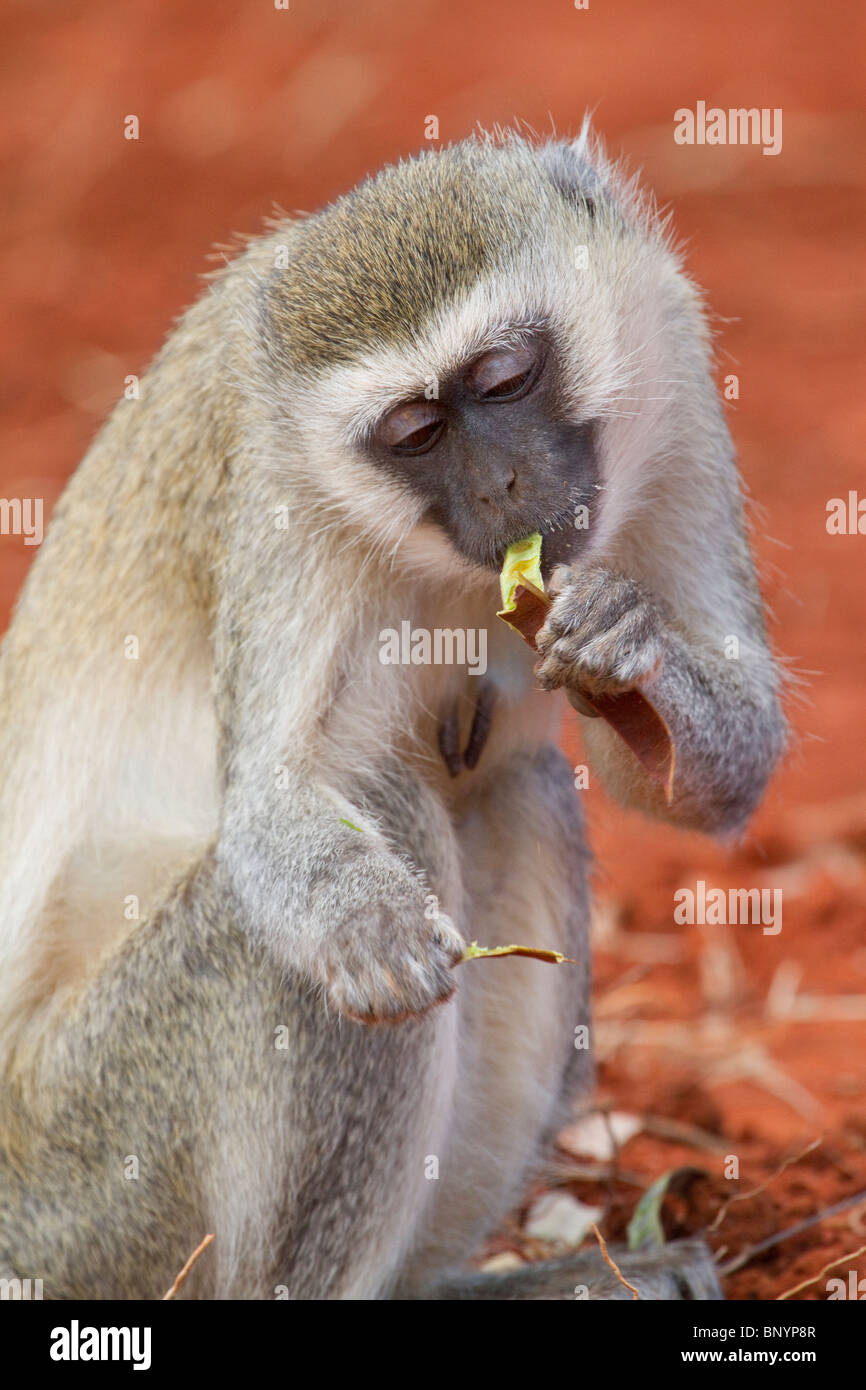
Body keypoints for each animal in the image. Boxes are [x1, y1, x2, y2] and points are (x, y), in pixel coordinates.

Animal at [0, 126, 784, 1300]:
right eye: (414, 431)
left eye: (503, 377)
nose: (502, 485)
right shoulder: (278, 487)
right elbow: (271, 807)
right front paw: (367, 925)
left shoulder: (670, 356)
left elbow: (725, 773)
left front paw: (628, 649)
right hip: (89, 1170)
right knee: (385, 816)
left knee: (517, 788)